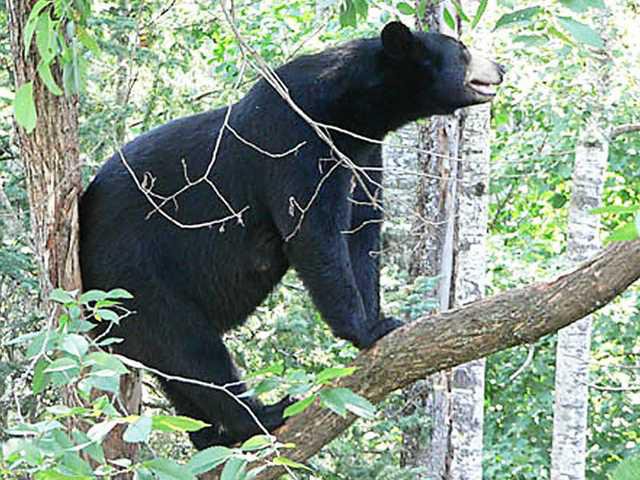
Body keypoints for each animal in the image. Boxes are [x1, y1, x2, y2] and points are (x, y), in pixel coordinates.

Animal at [79, 21, 504, 448]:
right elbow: (313, 232)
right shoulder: (294, 137)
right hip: (133, 277)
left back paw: (211, 439)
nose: (499, 67)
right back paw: (261, 416)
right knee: (192, 350)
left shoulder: (363, 151)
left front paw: (378, 317)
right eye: (462, 49)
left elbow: (362, 231)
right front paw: (365, 328)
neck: (353, 110)